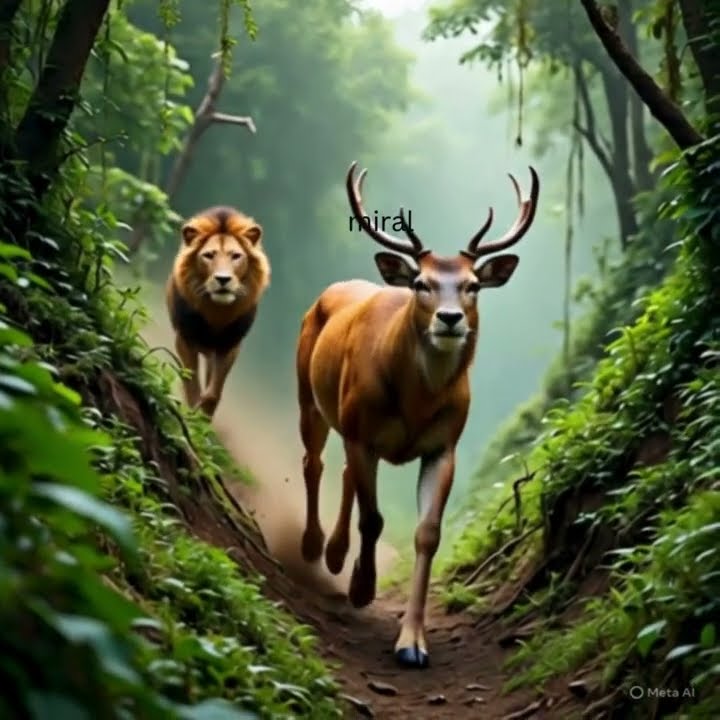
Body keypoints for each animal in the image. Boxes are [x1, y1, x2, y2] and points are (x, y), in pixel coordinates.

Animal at [296, 161, 540, 668]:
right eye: (422, 284)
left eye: (472, 285)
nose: (449, 318)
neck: (414, 402)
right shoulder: (363, 431)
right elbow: (374, 519)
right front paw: (362, 587)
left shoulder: (444, 445)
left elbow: (428, 533)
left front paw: (412, 642)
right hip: (311, 394)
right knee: (315, 462)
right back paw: (314, 546)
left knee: (343, 473)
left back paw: (335, 553)